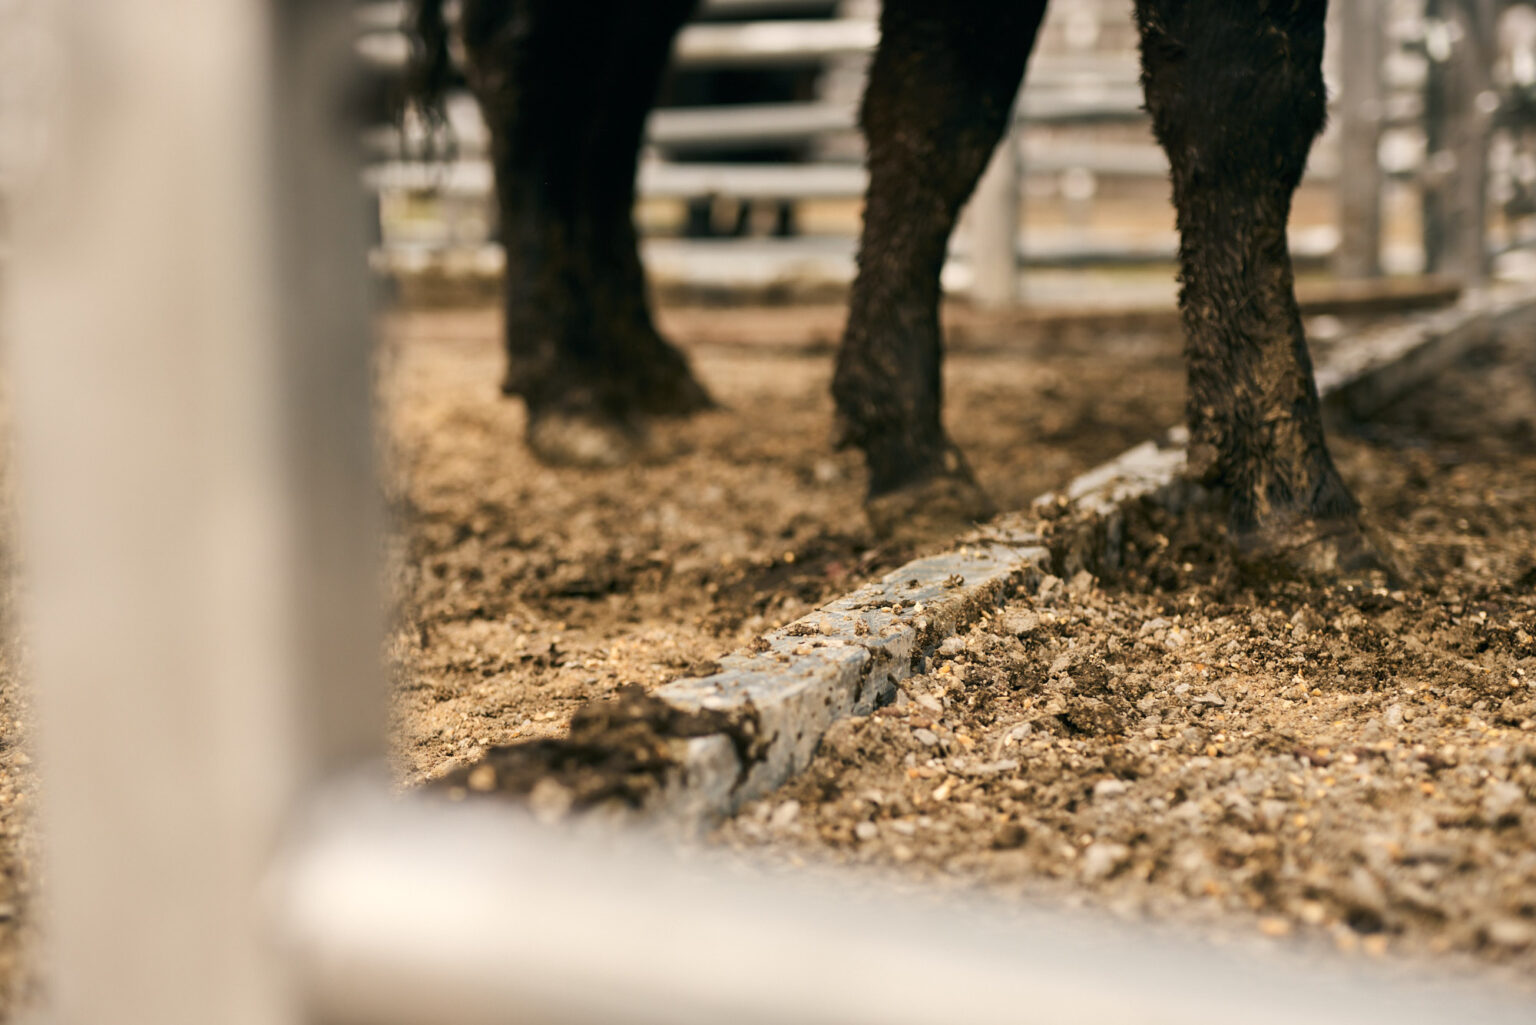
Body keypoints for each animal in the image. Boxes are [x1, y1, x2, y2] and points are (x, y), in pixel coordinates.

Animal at [408, 0, 1378, 572]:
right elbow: (1245, 99)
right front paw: (1297, 497)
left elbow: (933, 110)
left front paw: (903, 438)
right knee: (535, 76)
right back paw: (571, 391)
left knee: (609, 106)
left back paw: (645, 366)